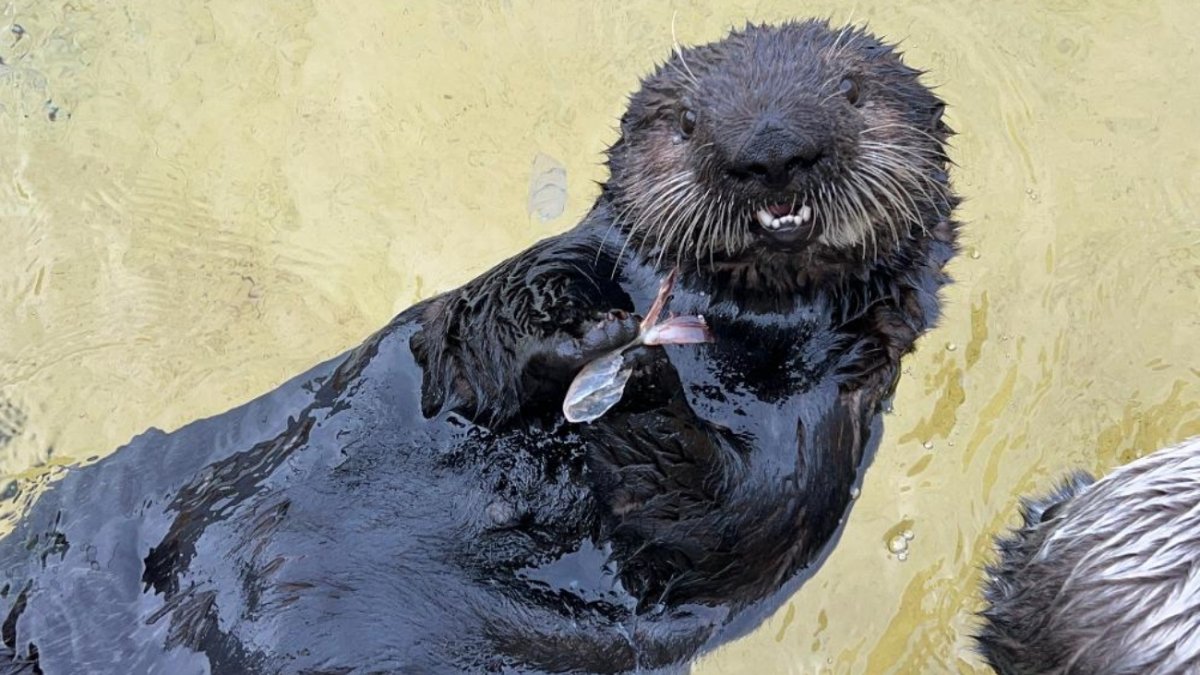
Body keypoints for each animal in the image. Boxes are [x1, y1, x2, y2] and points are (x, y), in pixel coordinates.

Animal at [0, 20, 956, 674]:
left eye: (851, 91)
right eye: (686, 121)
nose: (771, 149)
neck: (726, 327)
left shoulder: (829, 420)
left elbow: (727, 526)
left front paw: (640, 387)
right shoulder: (511, 299)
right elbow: (458, 344)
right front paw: (573, 326)